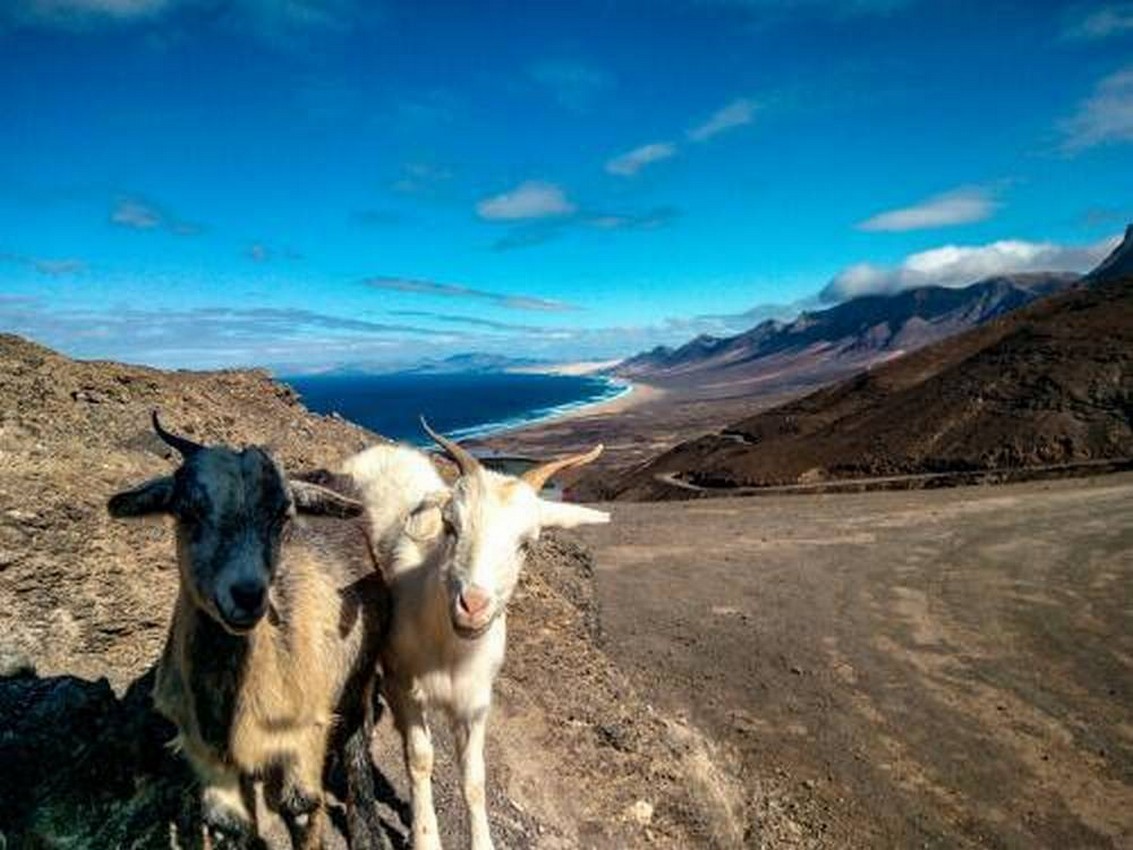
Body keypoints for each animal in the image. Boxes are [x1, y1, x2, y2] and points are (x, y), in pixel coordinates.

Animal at [108, 414, 392, 850]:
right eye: (187, 511)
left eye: (282, 515)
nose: (247, 594)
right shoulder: (204, 753)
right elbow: (228, 824)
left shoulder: (304, 734)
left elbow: (301, 806)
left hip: (357, 673)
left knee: (356, 741)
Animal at [341, 422, 609, 850]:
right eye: (451, 527)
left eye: (526, 543)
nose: (473, 605)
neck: (448, 650)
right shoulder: (404, 685)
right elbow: (420, 759)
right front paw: (426, 837)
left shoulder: (476, 702)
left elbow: (475, 780)